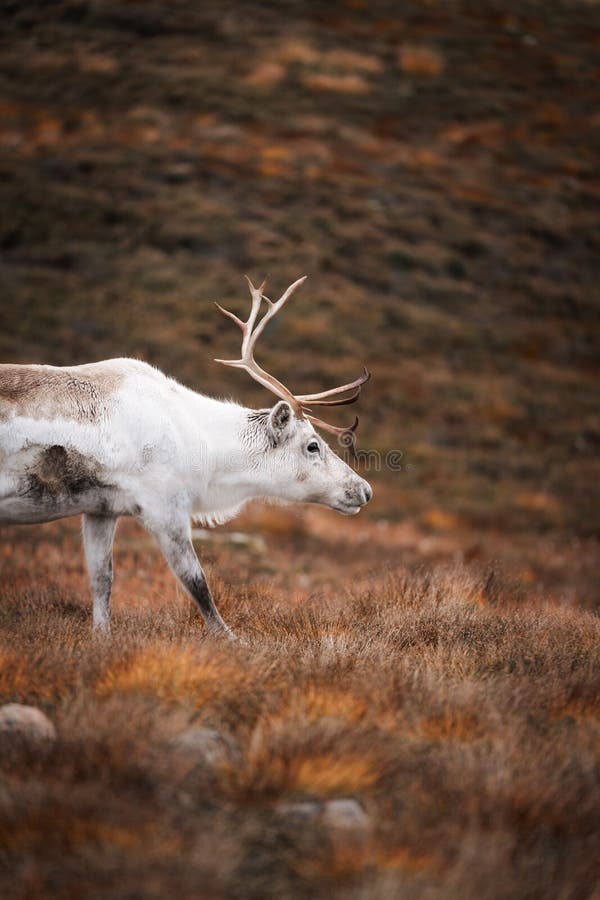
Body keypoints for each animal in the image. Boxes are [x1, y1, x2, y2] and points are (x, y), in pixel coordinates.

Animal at [0, 275, 372, 638]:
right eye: (312, 445)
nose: (364, 490)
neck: (202, 445)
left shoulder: (100, 510)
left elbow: (101, 580)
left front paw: (102, 639)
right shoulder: (166, 507)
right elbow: (196, 582)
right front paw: (231, 639)